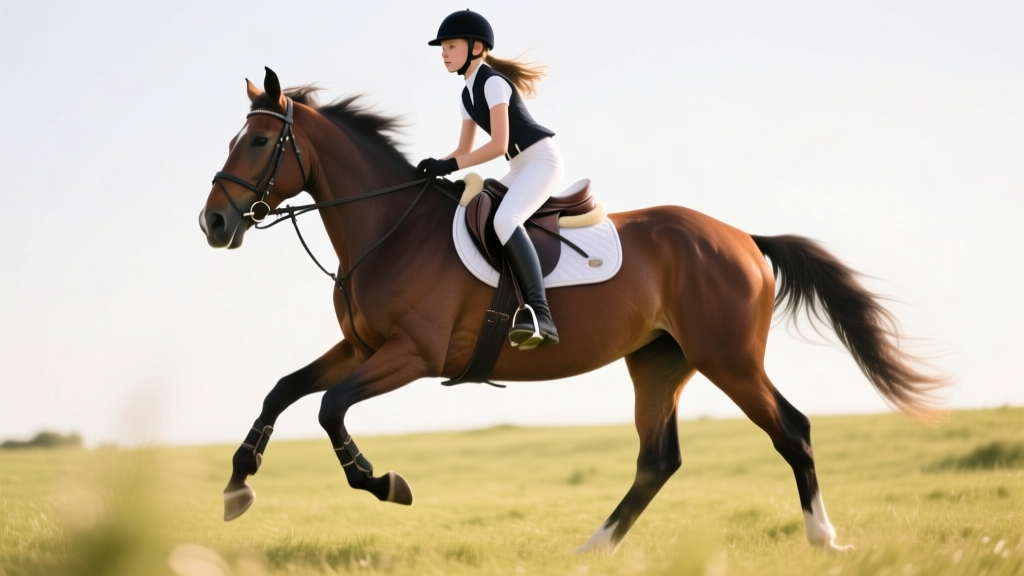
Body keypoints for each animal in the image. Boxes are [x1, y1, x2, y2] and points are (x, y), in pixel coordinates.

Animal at [199, 68, 944, 554]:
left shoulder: (410, 355)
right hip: (659, 362)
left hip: (727, 357)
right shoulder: (360, 348)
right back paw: (594, 549)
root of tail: (742, 238)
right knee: (657, 460)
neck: (389, 228)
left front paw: (385, 483)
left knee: (791, 429)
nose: (213, 223)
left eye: (258, 143)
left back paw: (824, 539)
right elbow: (282, 391)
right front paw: (236, 489)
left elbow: (329, 408)